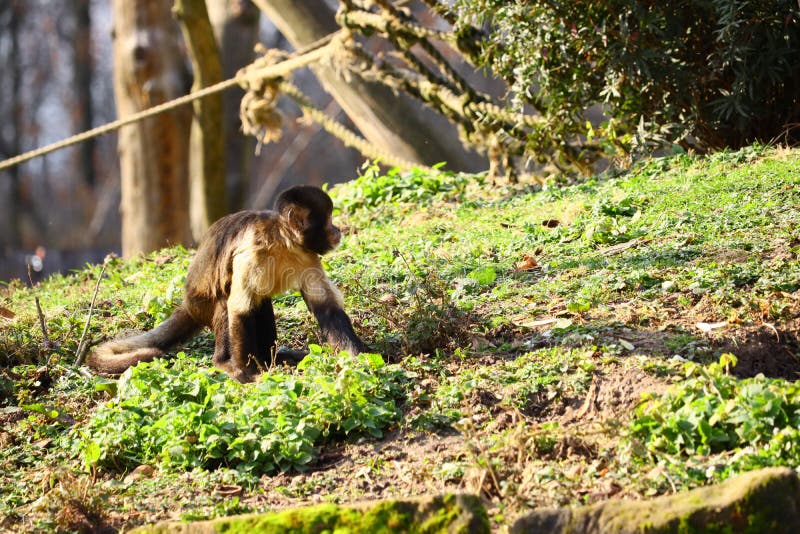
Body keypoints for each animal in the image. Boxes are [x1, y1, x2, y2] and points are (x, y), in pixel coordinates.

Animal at [86, 185, 367, 383]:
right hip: (202, 303)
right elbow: (239, 309)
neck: (284, 241)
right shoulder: (253, 252)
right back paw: (224, 362)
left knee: (260, 301)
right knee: (228, 301)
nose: (337, 230)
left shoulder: (306, 255)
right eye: (328, 220)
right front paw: (248, 372)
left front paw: (358, 357)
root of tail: (188, 303)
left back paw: (272, 358)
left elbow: (326, 306)